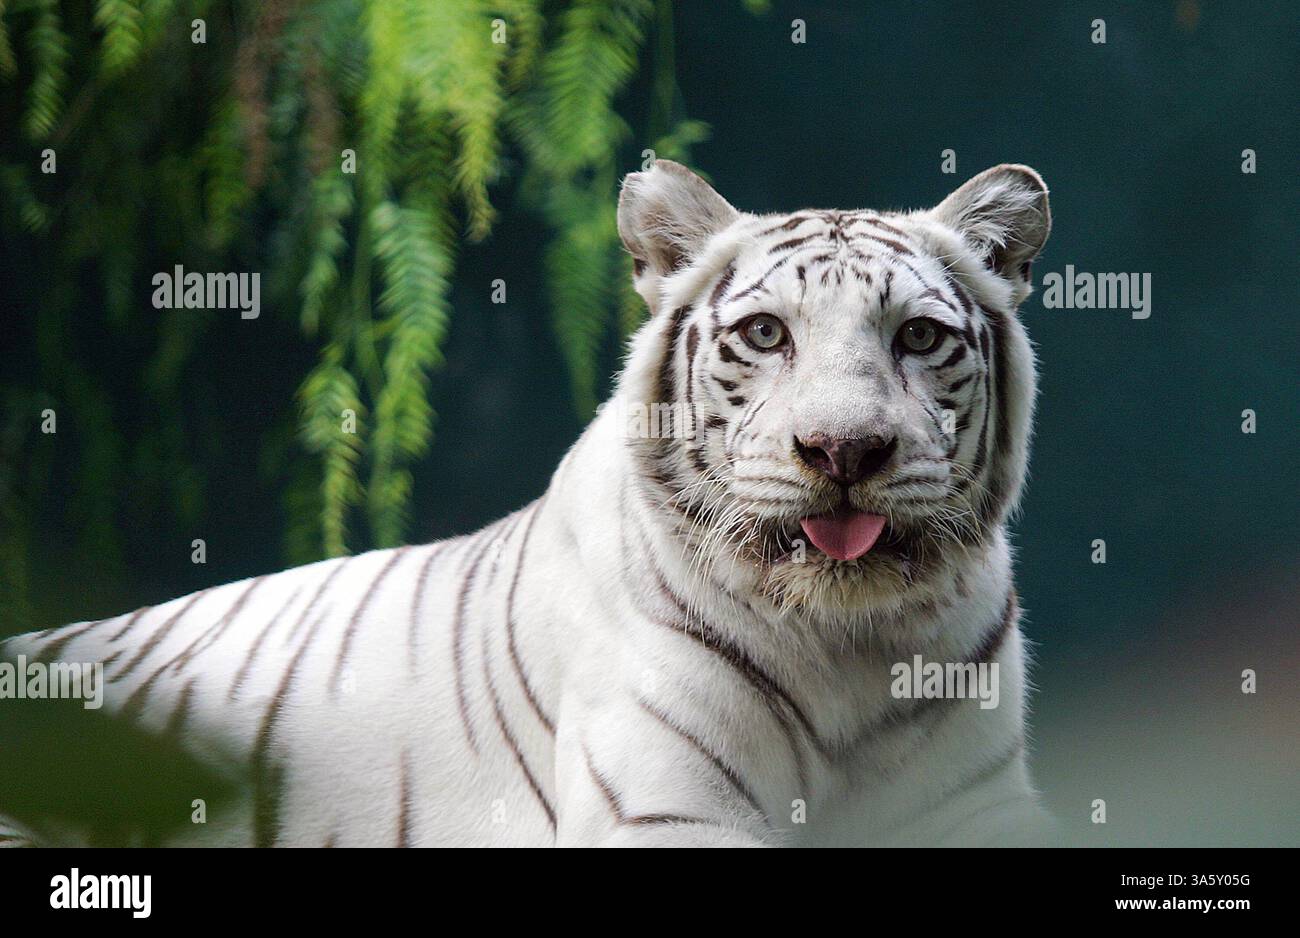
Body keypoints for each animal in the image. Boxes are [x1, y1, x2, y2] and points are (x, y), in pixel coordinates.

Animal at [1, 160, 1052, 847]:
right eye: (765, 333)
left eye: (918, 337)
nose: (844, 450)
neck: (849, 650)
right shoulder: (666, 808)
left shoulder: (981, 809)